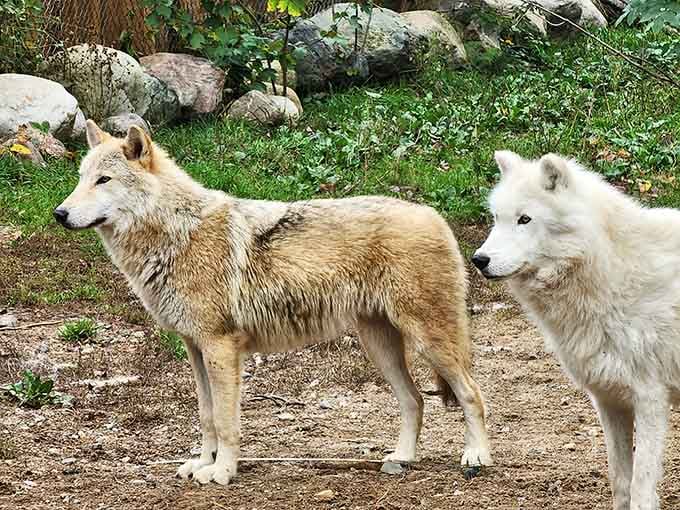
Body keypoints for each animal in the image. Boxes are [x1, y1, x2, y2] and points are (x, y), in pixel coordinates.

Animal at [53, 121, 492, 485]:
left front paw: (222, 472)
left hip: (428, 342)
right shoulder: (195, 348)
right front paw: (203, 463)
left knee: (472, 392)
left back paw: (476, 457)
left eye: (103, 180)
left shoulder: (220, 347)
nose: (59, 213)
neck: (176, 233)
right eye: (81, 179)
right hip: (379, 346)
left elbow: (226, 421)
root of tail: (434, 215)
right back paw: (402, 458)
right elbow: (206, 416)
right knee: (415, 400)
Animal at [473, 150, 680, 510]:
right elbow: (620, 484)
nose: (479, 260)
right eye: (497, 218)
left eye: (524, 219)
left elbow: (641, 490)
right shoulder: (609, 401)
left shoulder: (650, 399)